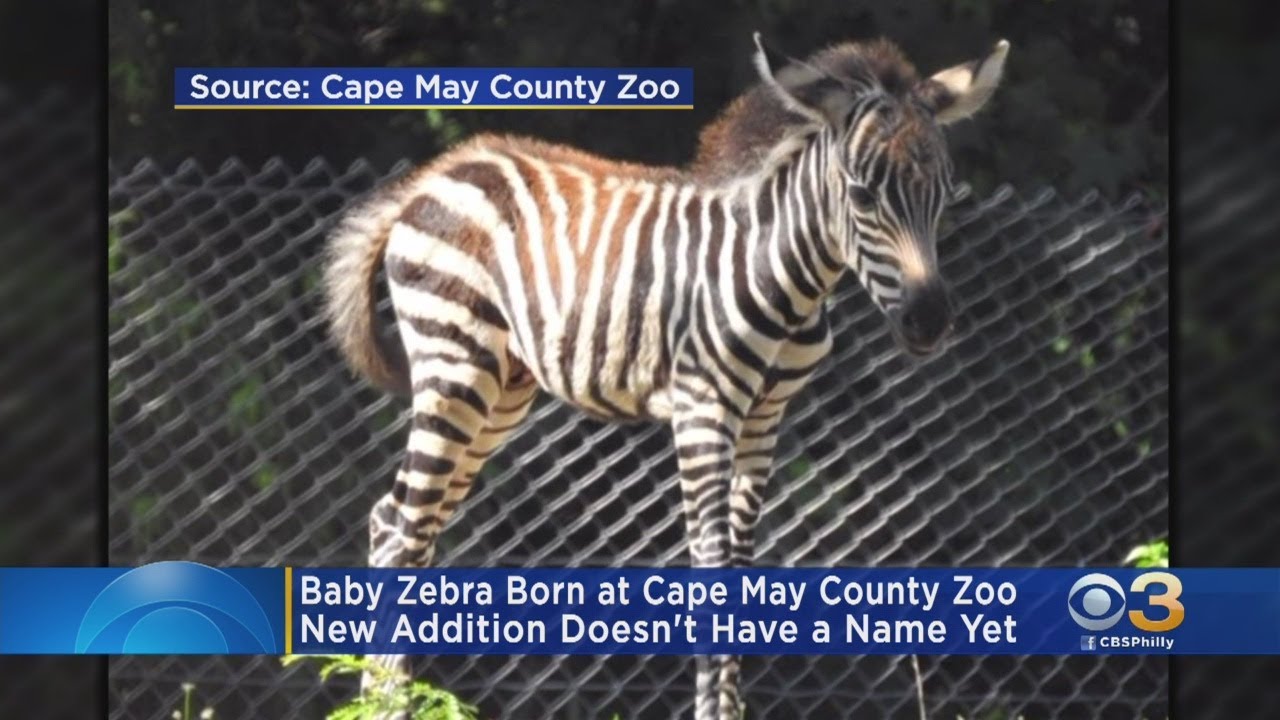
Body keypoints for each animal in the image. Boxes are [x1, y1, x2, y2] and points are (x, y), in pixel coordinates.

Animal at [323, 33, 1008, 720]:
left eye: (945, 194)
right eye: (863, 196)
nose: (929, 322)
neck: (781, 274)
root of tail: (435, 175)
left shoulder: (766, 417)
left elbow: (741, 567)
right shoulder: (703, 407)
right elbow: (711, 565)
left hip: (501, 390)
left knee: (396, 519)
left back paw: (381, 699)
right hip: (454, 361)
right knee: (407, 531)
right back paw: (389, 706)